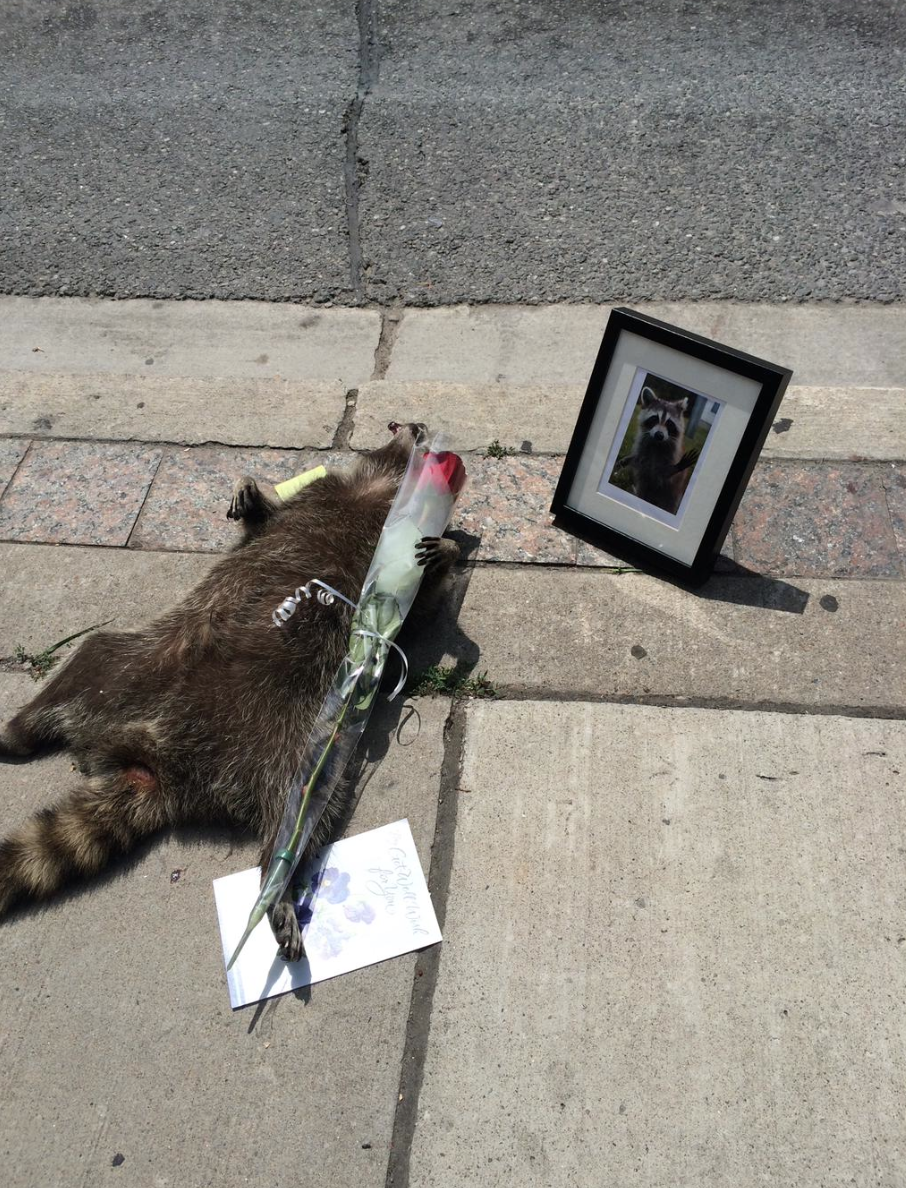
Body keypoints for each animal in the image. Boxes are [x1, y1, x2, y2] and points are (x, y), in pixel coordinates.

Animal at [0, 422, 459, 961]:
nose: (417, 428)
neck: (382, 483)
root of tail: (162, 764)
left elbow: (422, 604)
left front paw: (449, 552)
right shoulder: (317, 495)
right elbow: (262, 522)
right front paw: (250, 489)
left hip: (293, 740)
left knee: (304, 804)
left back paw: (276, 881)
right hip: (143, 664)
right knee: (94, 652)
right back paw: (20, 727)